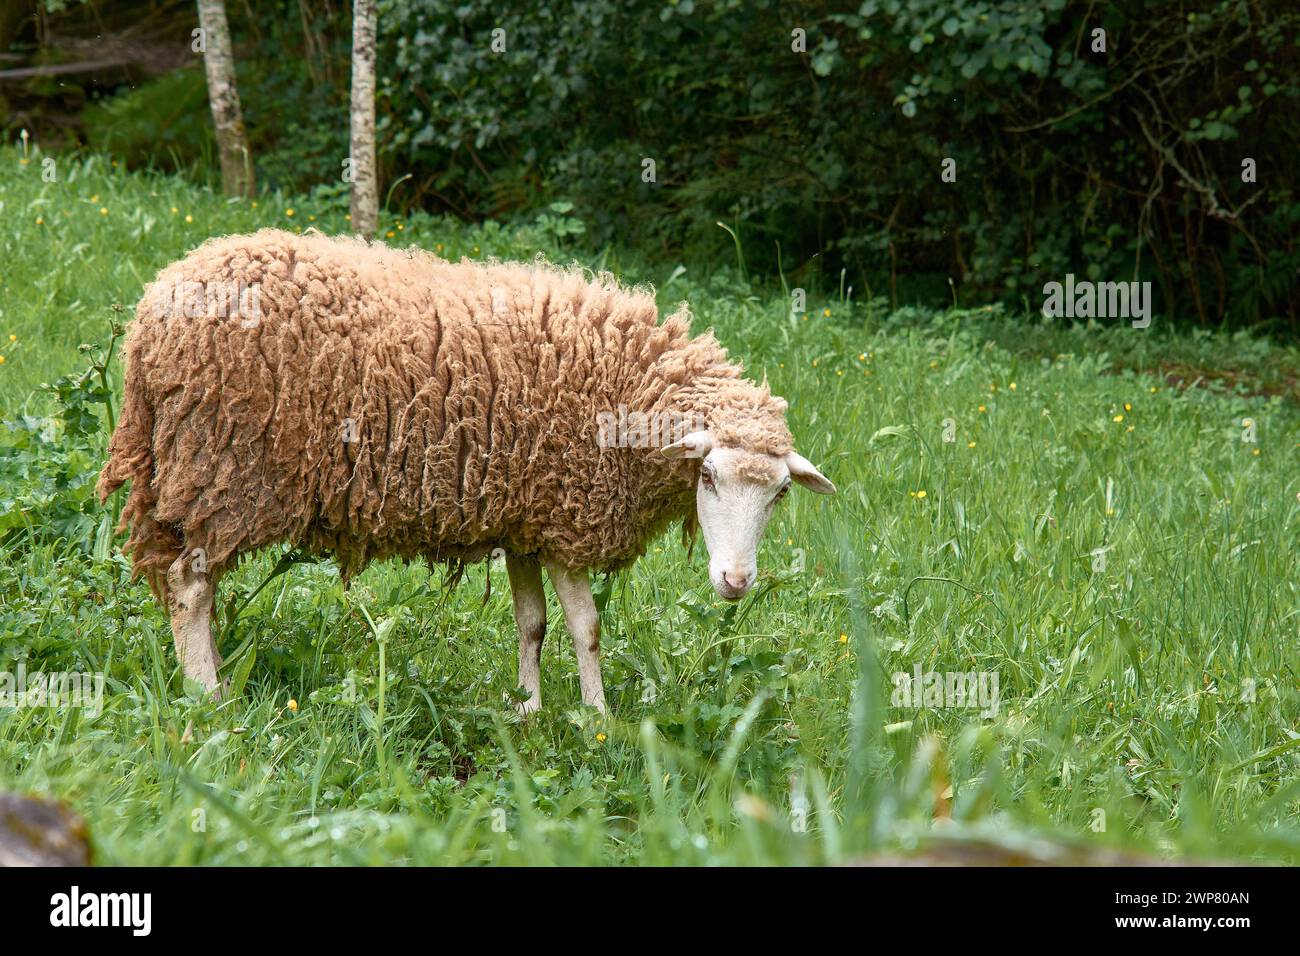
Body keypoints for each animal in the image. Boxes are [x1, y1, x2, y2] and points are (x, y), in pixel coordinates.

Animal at [97, 229, 836, 713]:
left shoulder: (528, 518)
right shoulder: (565, 516)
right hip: (227, 468)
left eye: (778, 496)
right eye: (707, 477)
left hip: (192, 471)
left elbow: (532, 623)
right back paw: (208, 694)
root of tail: (154, 308)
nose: (736, 583)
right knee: (190, 587)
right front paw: (599, 720)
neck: (626, 387)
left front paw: (527, 708)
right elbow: (587, 628)